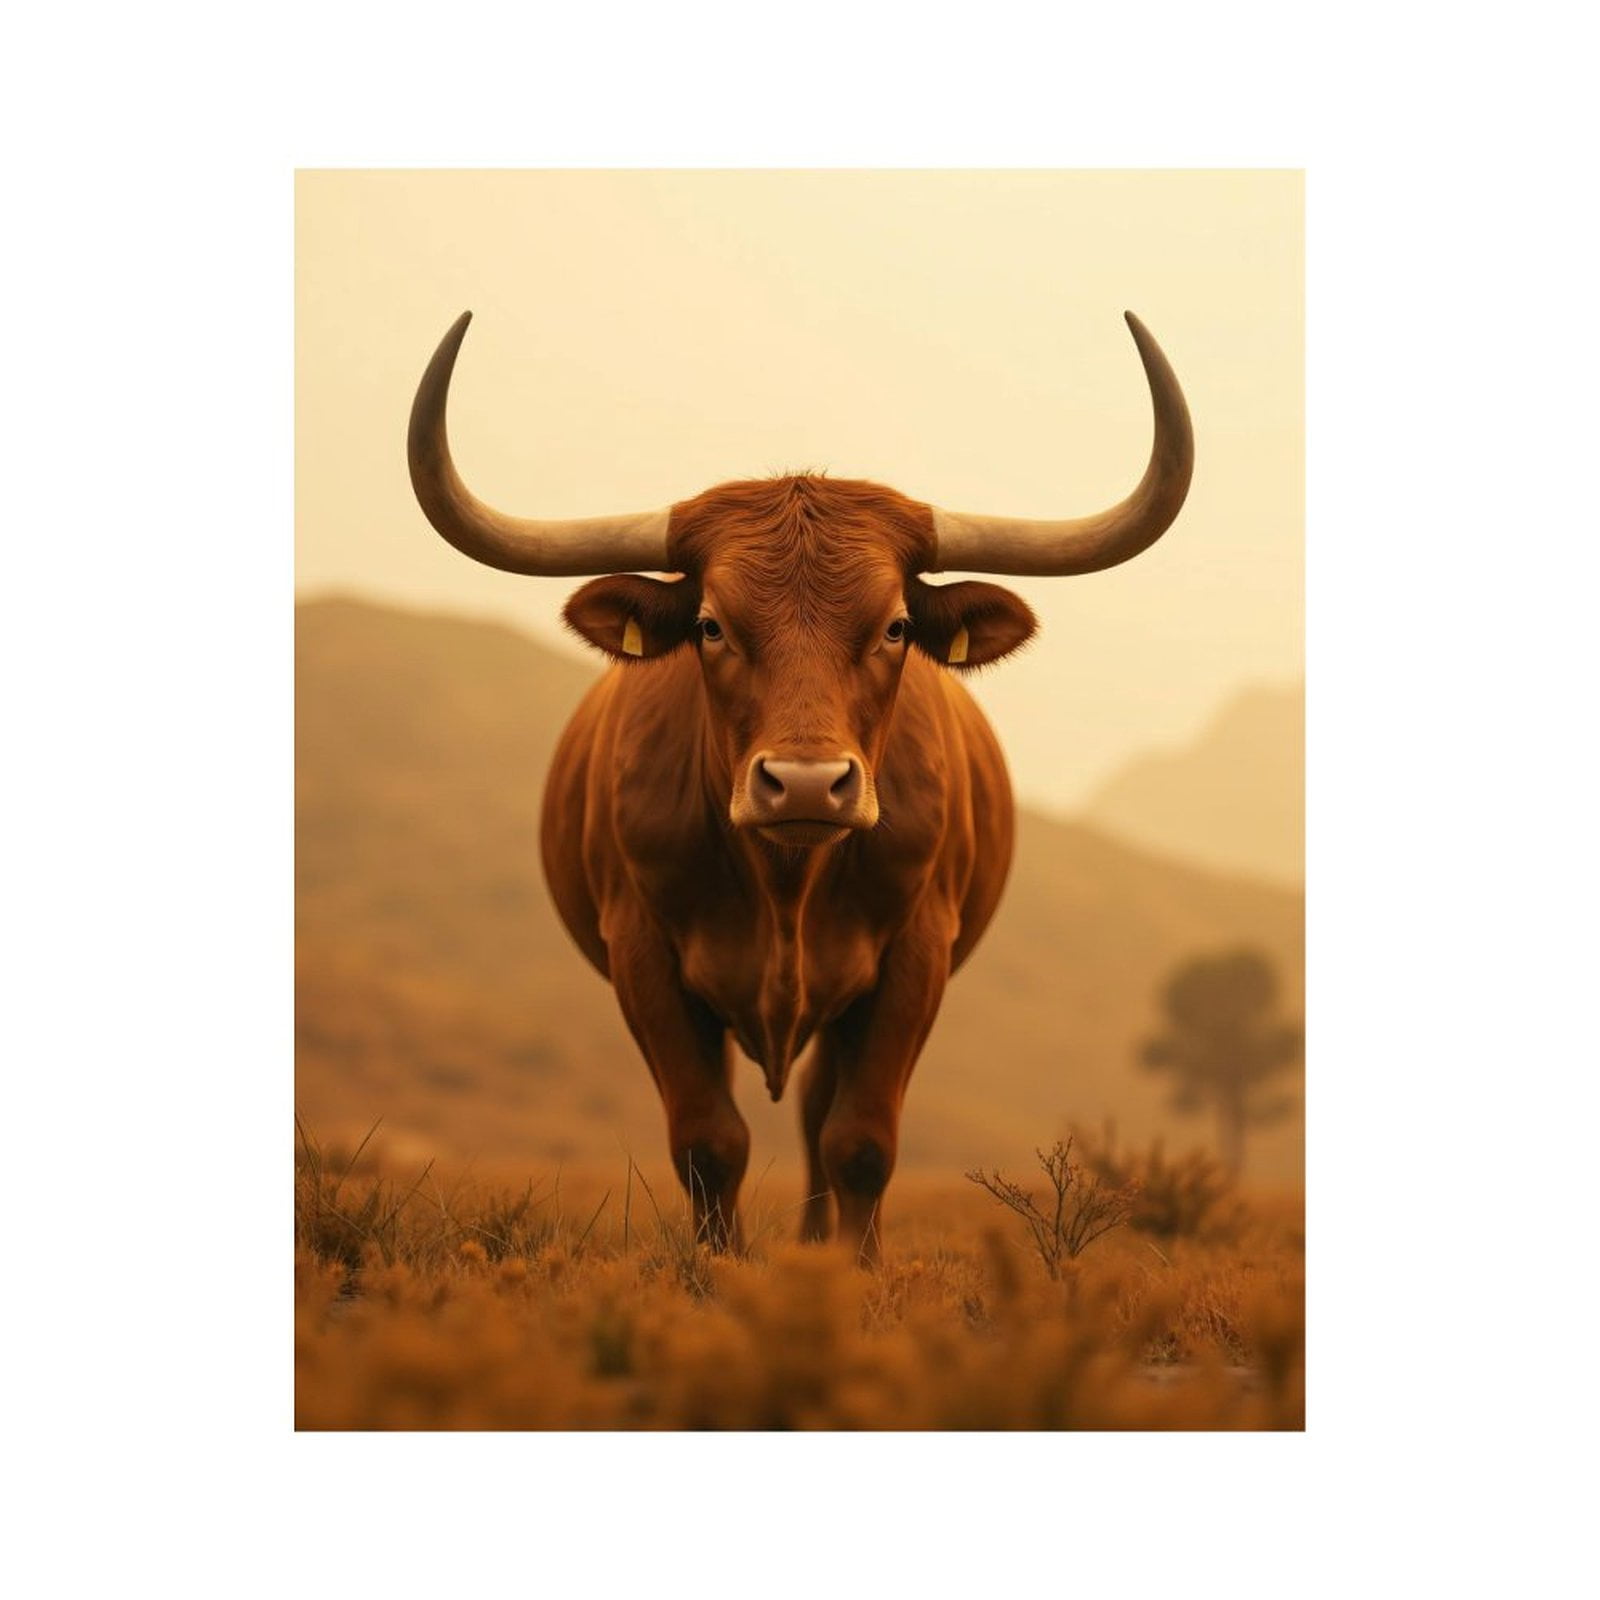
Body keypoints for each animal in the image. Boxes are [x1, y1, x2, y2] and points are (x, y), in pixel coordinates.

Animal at [407, 310, 1192, 1264]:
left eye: (895, 627)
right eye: (711, 625)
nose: (810, 786)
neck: (785, 883)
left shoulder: (914, 958)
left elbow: (858, 1139)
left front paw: (852, 1270)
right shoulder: (643, 957)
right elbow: (709, 1139)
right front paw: (719, 1265)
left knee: (821, 1112)